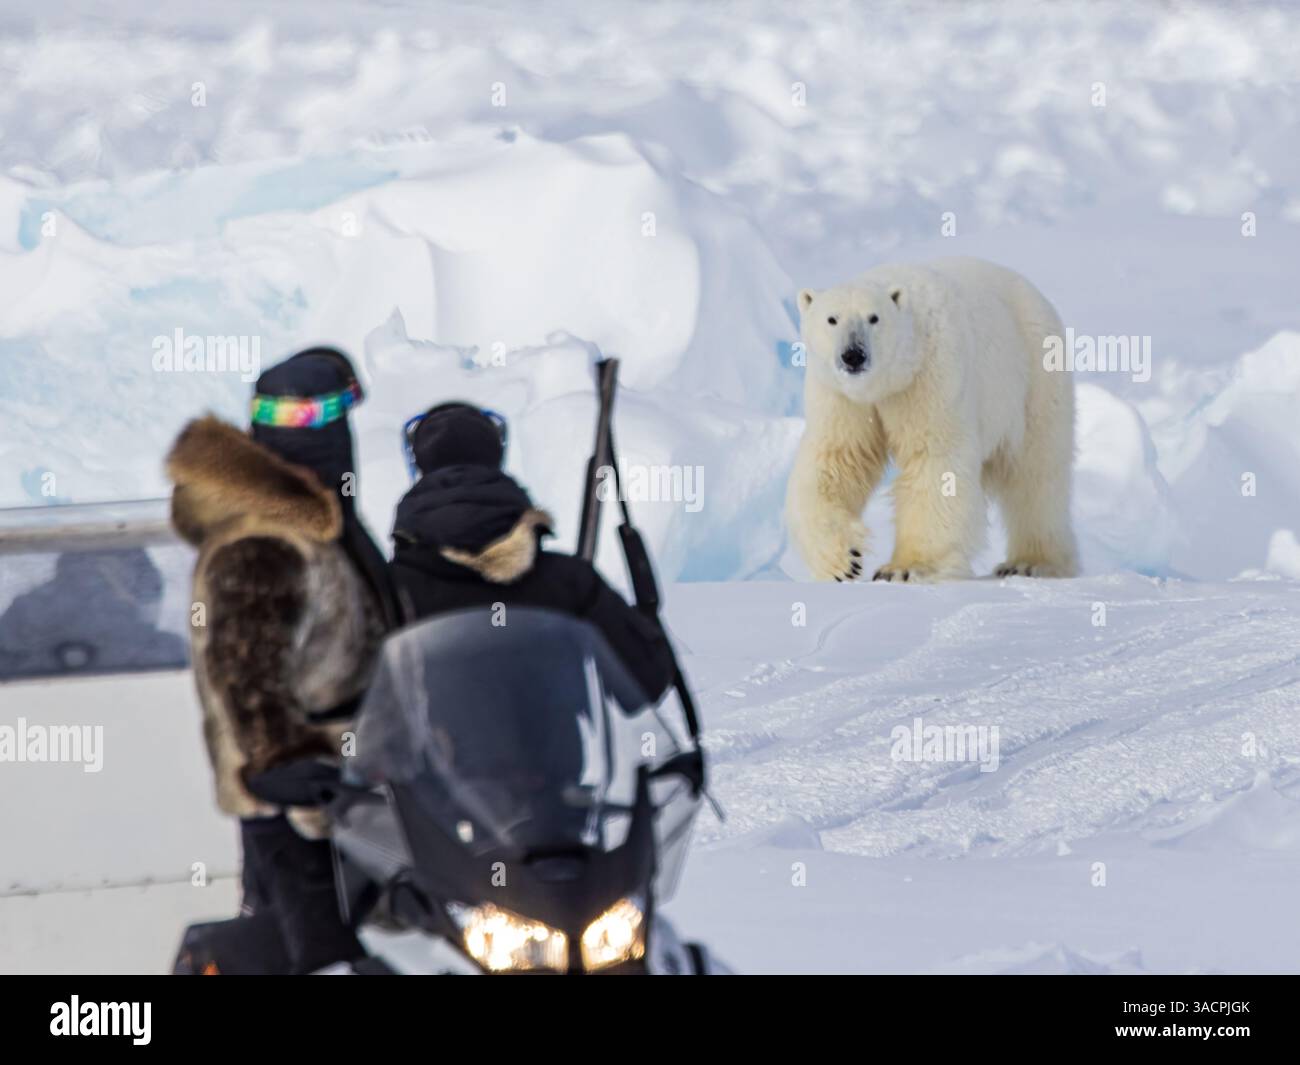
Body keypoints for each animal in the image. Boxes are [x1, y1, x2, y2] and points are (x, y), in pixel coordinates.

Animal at [786, 257, 1078, 583]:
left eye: (874, 318)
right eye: (831, 319)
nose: (853, 355)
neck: (891, 380)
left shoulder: (931, 374)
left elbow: (934, 458)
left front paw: (906, 568)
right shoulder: (841, 395)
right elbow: (837, 458)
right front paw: (844, 560)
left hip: (1034, 376)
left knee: (1036, 471)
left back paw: (1031, 562)